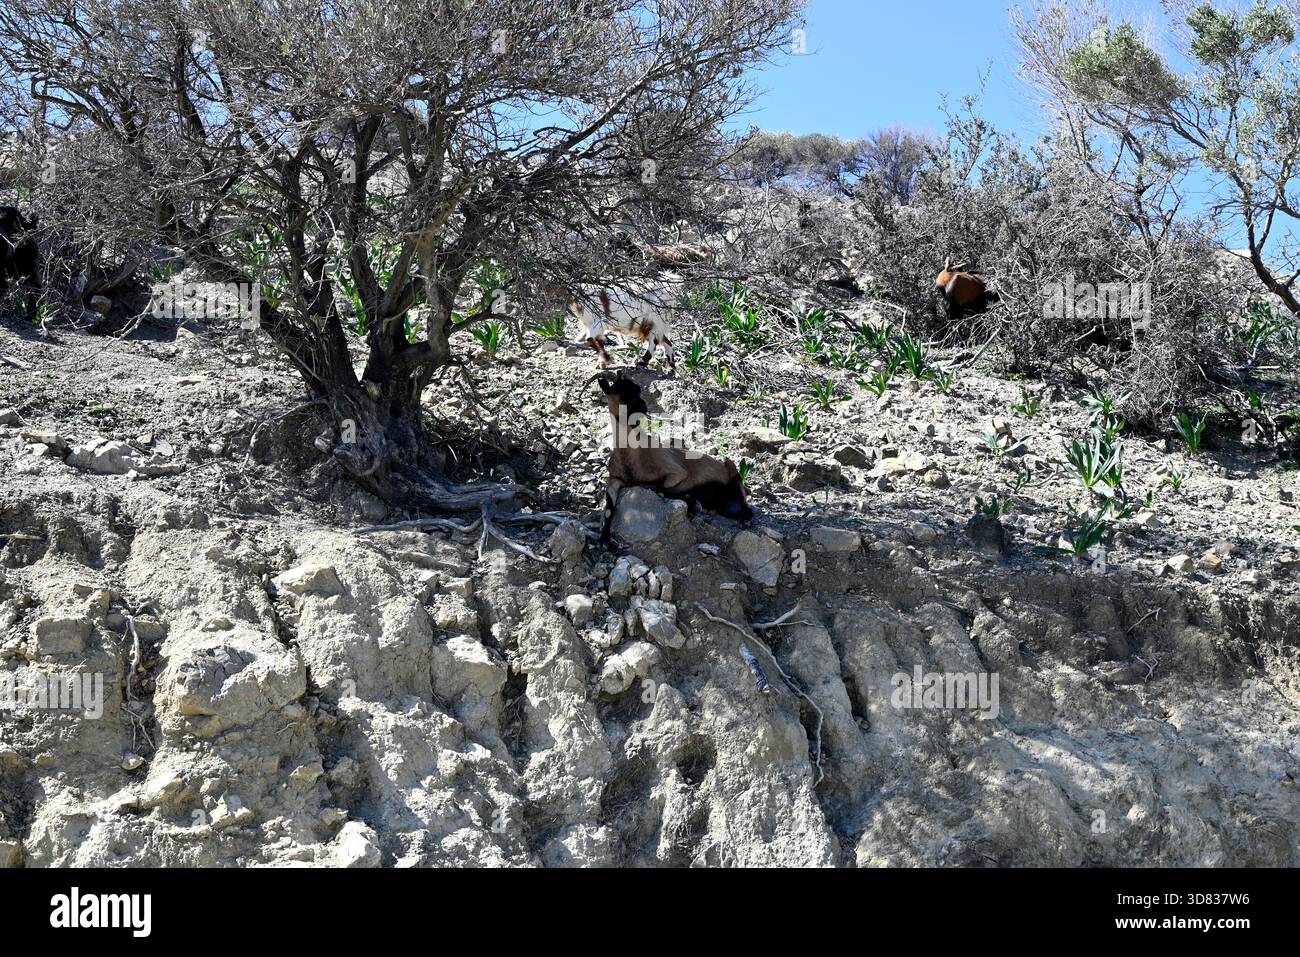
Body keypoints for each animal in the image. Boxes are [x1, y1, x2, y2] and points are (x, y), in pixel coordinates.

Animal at [595, 372, 751, 544]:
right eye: (621, 394)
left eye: (637, 389)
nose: (643, 406)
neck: (631, 456)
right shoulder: (614, 479)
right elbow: (609, 509)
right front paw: (604, 539)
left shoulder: (675, 471)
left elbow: (661, 489)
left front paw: (693, 502)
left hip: (731, 468)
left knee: (744, 501)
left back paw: (744, 519)